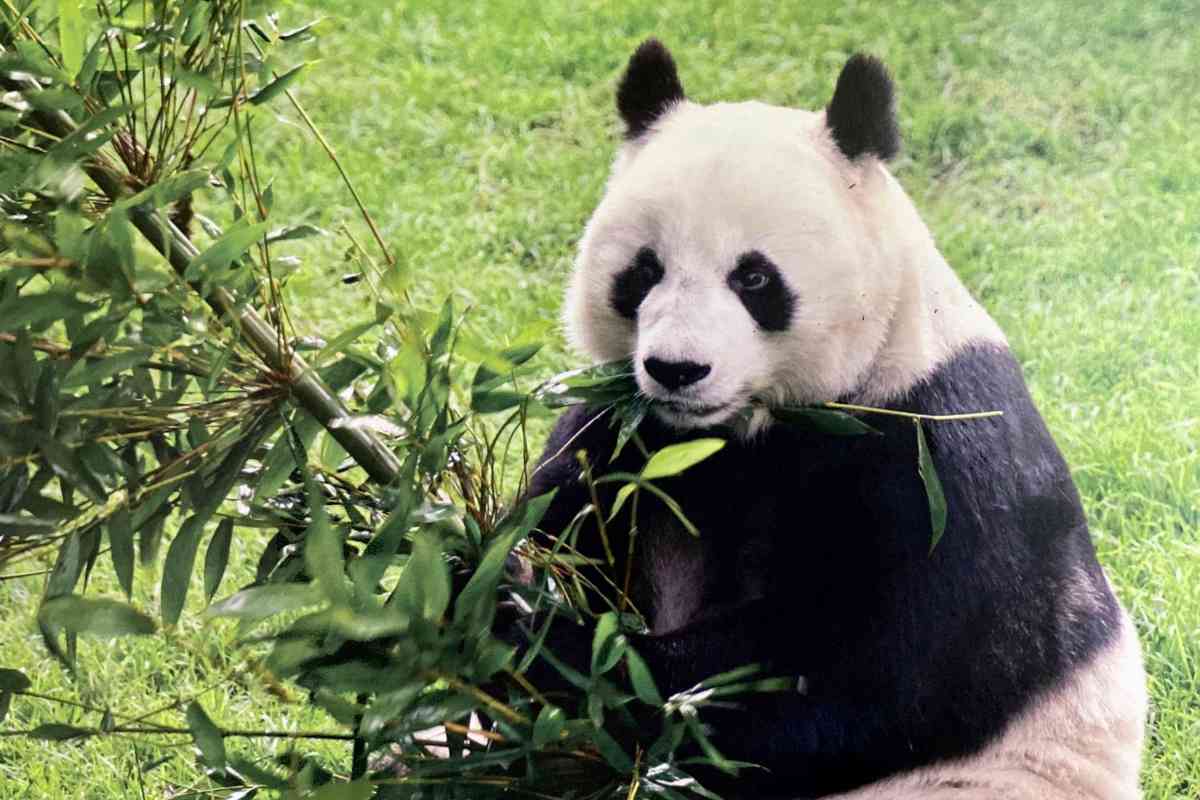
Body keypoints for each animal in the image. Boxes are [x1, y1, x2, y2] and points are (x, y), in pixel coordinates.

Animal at [519, 40, 1146, 799]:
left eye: (754, 278)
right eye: (644, 271)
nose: (677, 369)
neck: (738, 431)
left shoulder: (936, 458)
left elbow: (863, 681)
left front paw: (540, 636)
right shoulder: (628, 434)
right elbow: (562, 518)